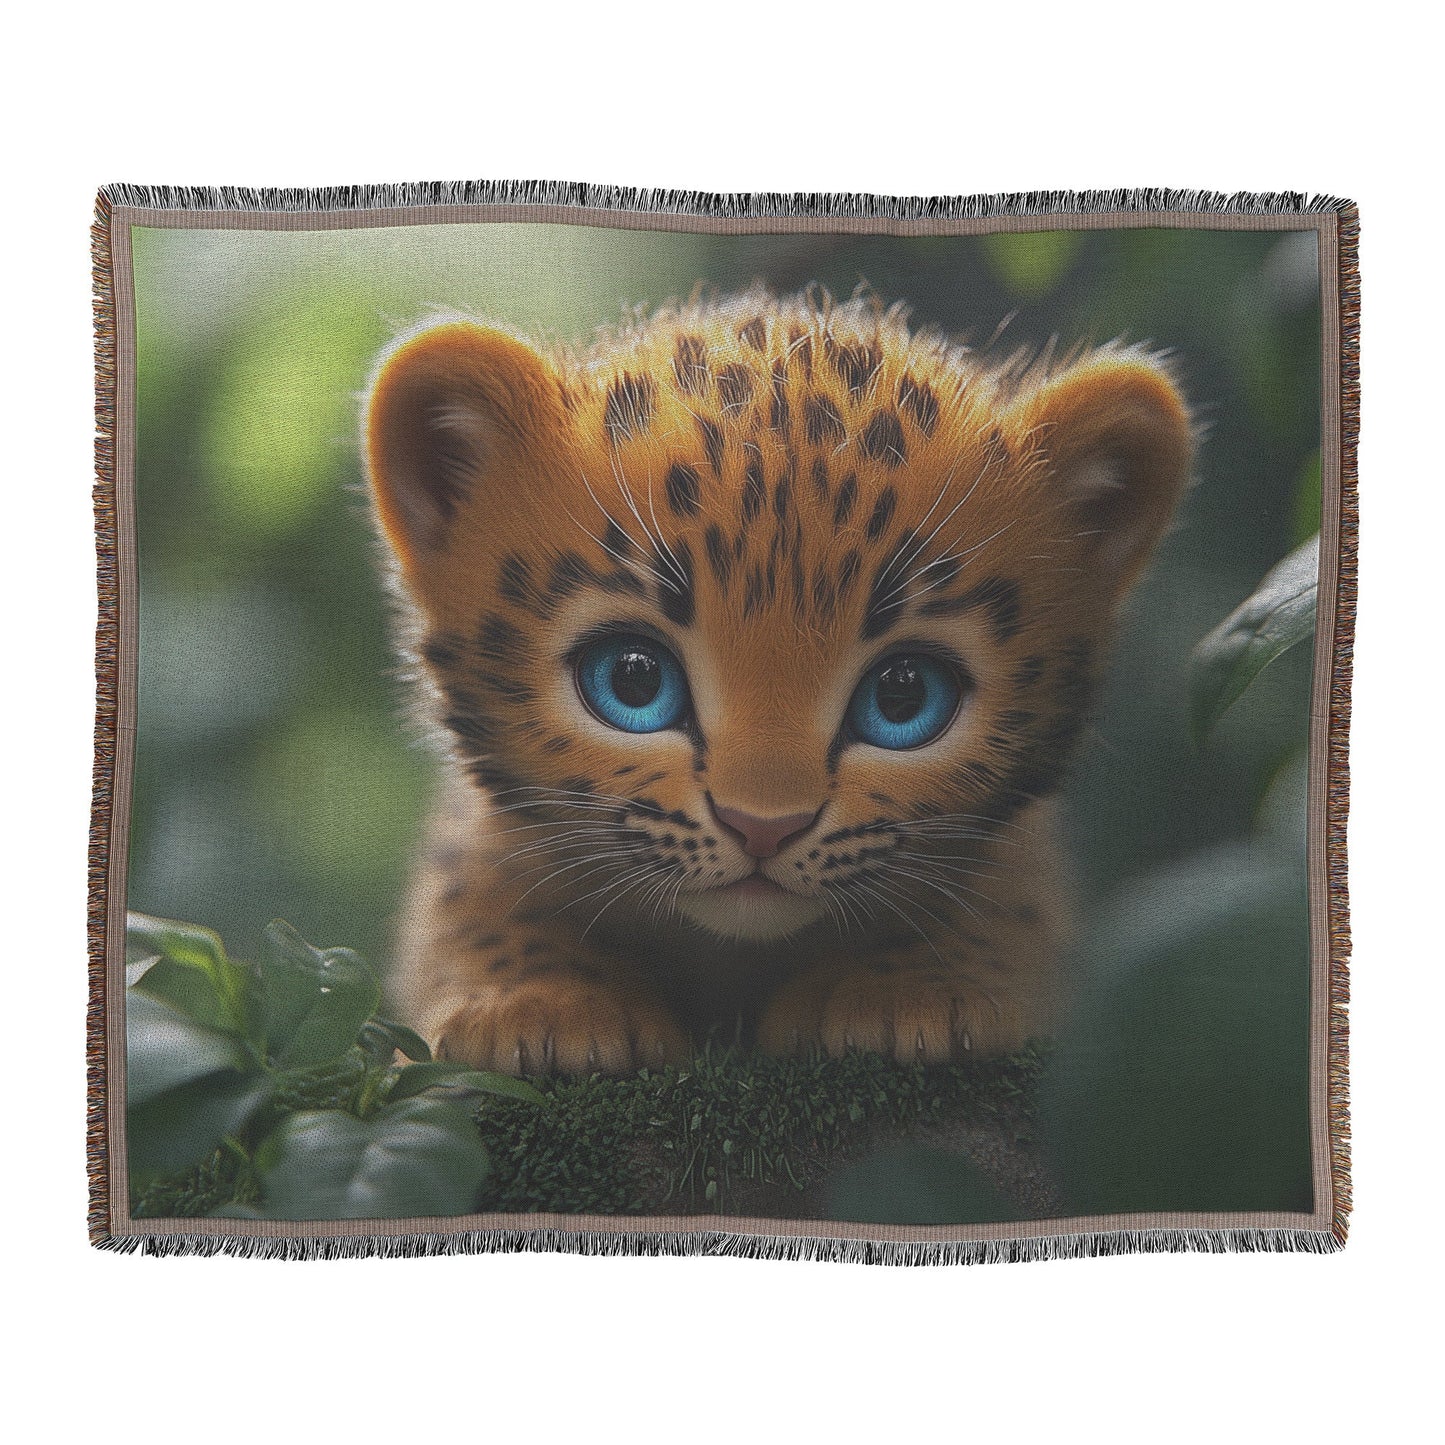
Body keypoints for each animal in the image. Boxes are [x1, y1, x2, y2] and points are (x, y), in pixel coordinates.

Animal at [362, 287, 1192, 1076]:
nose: (762, 825)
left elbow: (998, 914)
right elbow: (477, 910)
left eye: (903, 696)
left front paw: (915, 989)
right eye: (632, 681)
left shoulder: (1021, 871)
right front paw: (537, 1001)